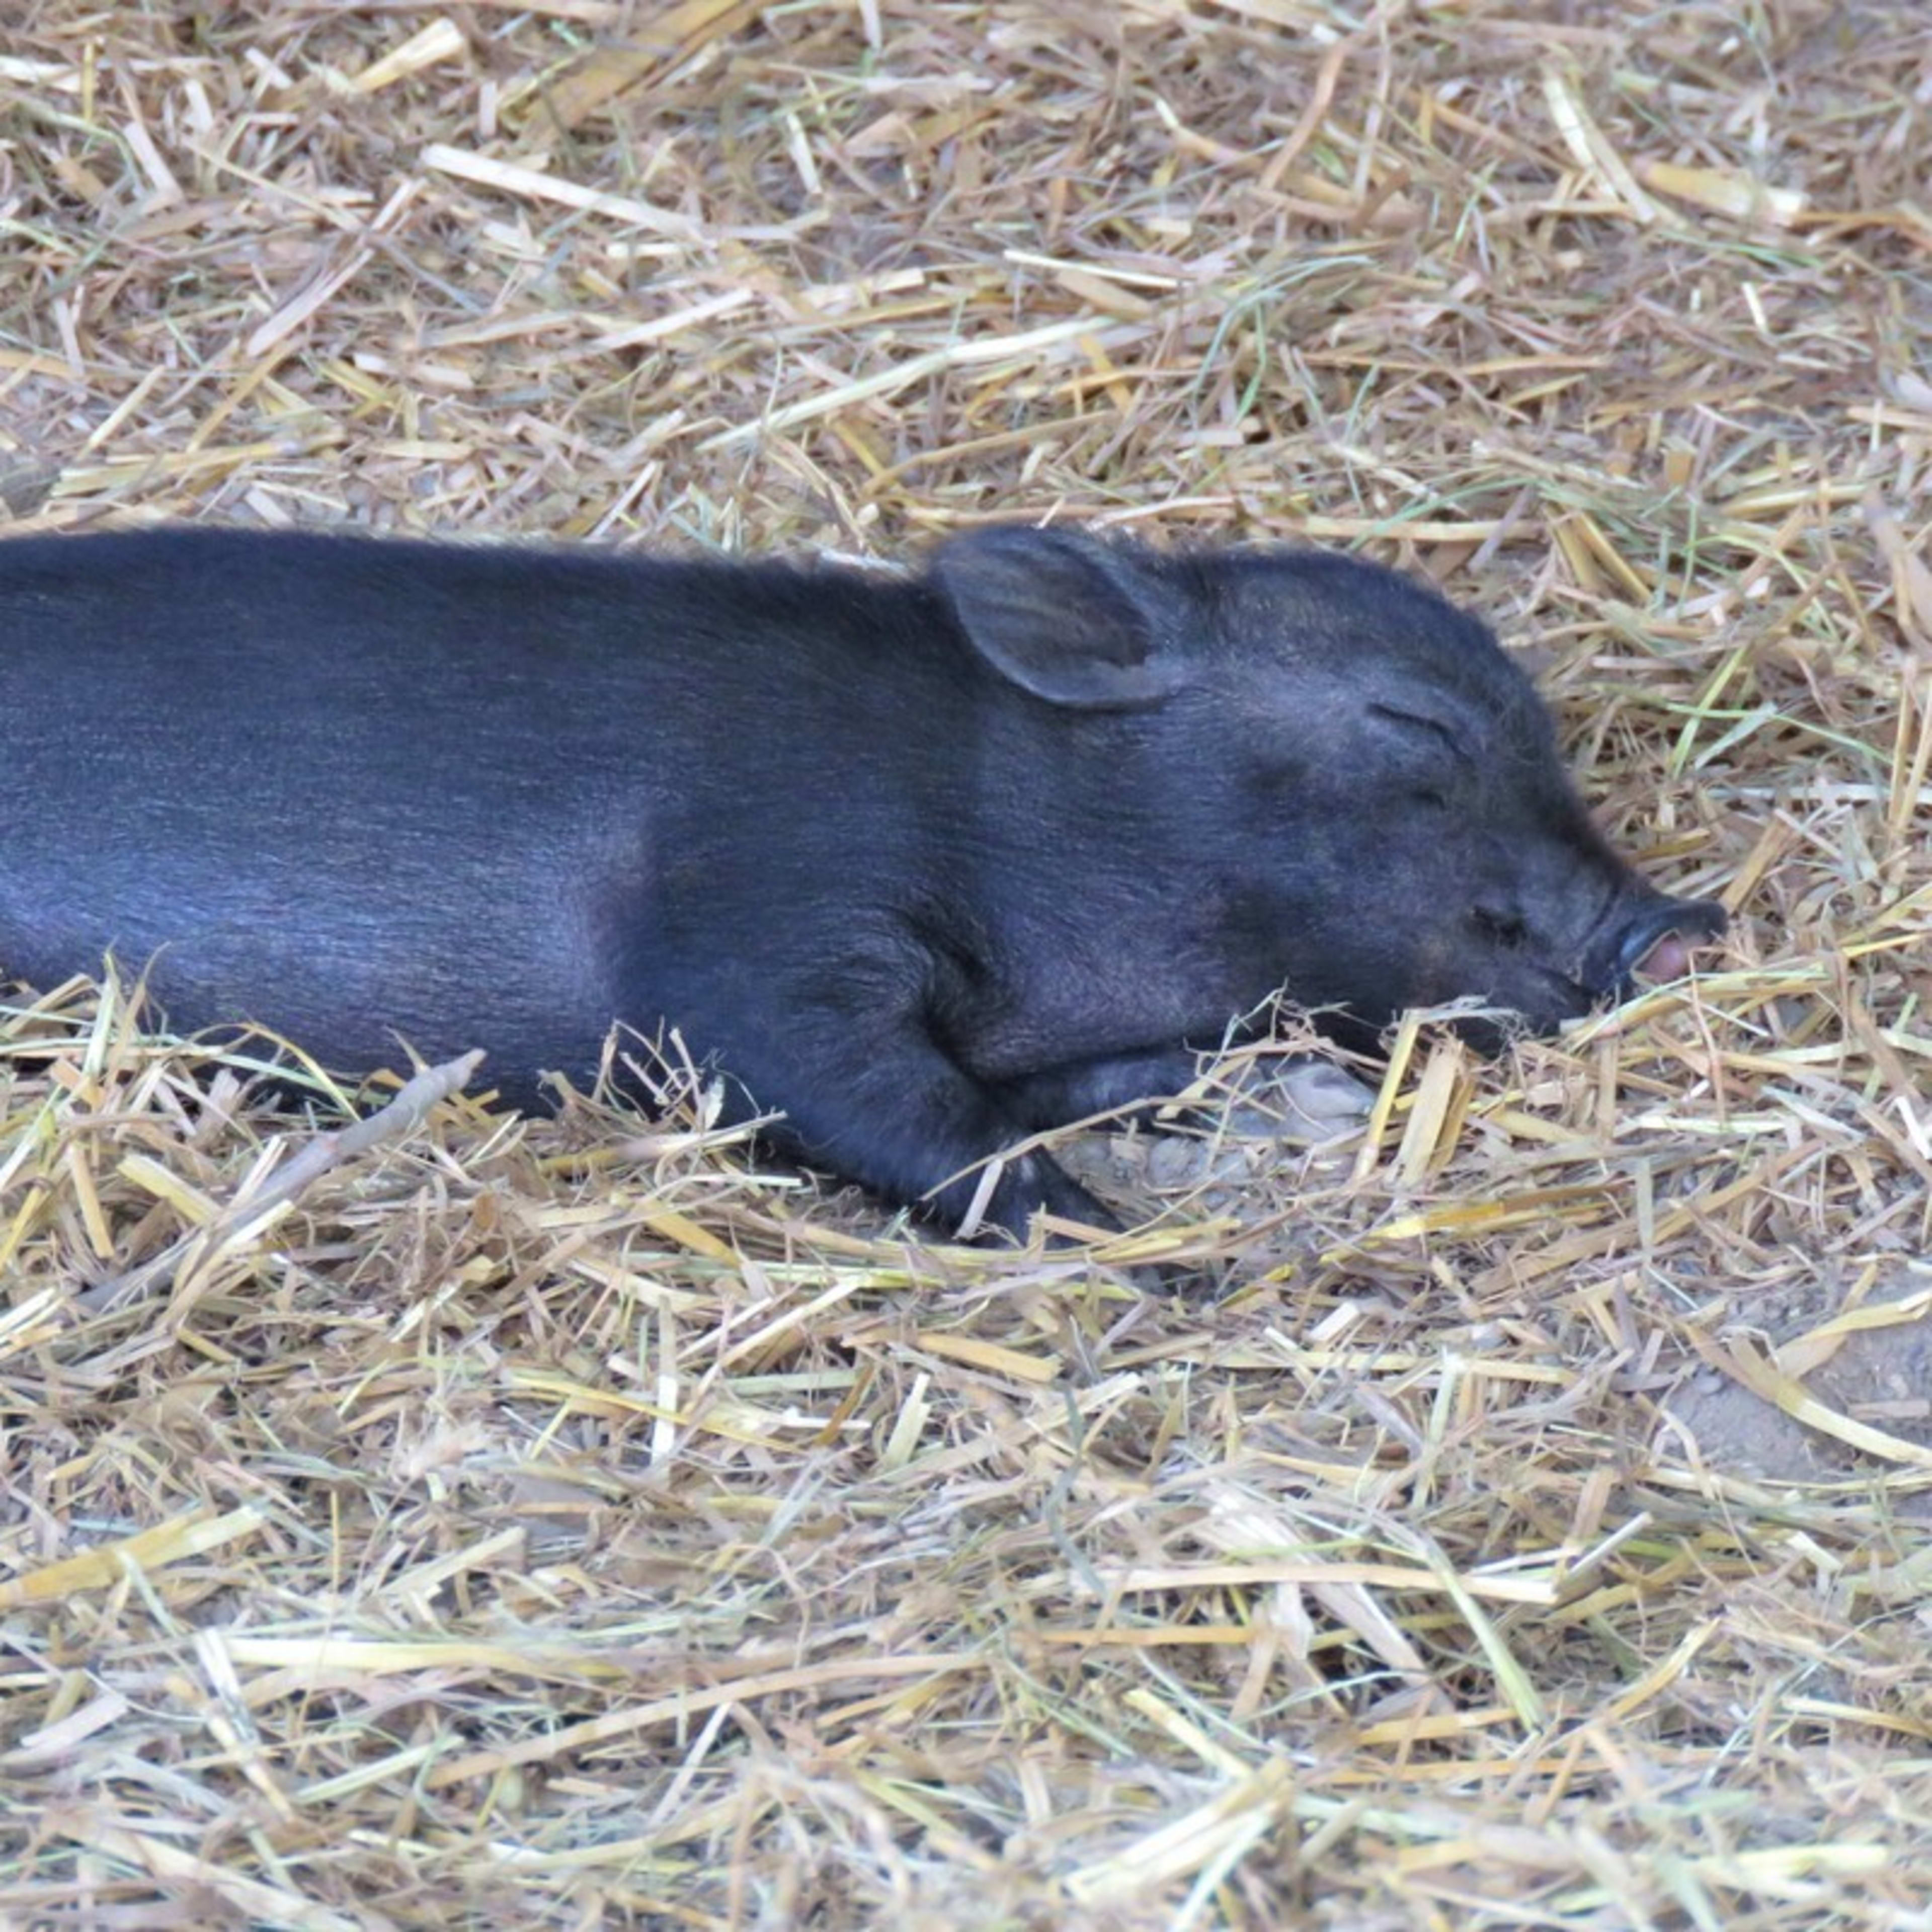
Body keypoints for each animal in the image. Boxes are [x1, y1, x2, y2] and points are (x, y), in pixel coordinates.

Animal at [0, 524, 1724, 1237]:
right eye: (1413, 728)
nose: (1679, 925)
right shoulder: (750, 911)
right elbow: (870, 1094)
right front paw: (1115, 1236)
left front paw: (1207, 1087)